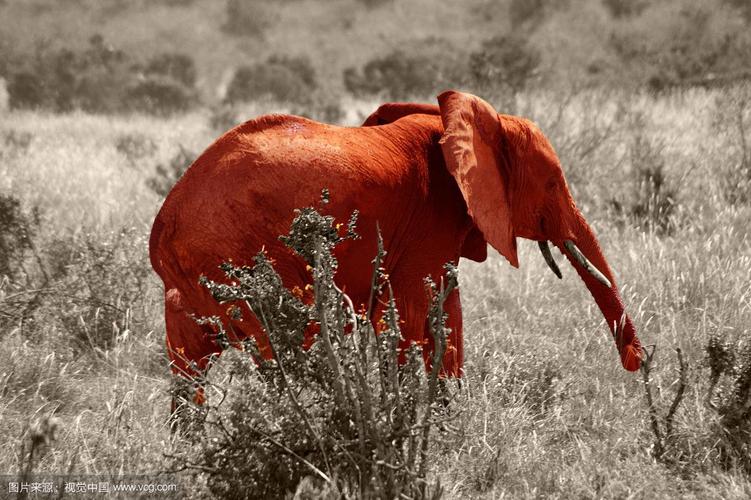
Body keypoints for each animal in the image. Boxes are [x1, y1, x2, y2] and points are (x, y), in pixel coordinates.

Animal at [149, 90, 642, 400]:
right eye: (554, 183)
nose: (638, 363)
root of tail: (163, 226)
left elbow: (448, 310)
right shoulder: (430, 218)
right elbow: (411, 311)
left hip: (193, 283)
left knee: (188, 369)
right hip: (243, 262)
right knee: (285, 348)